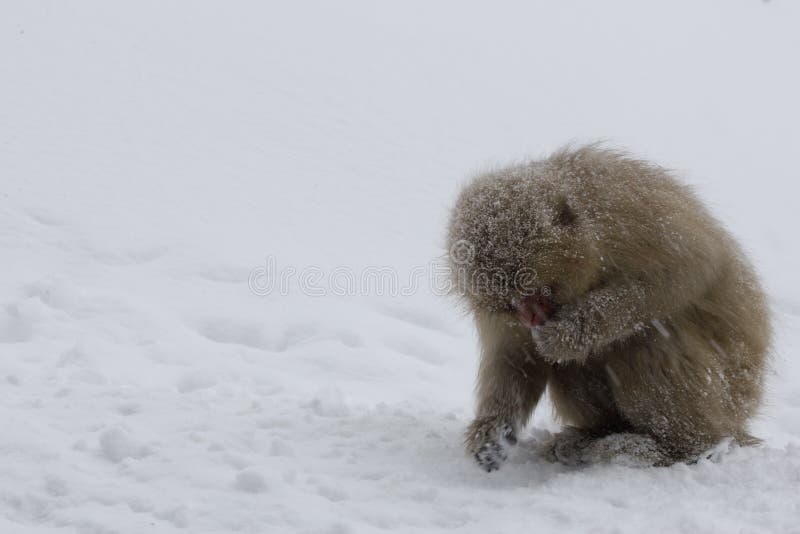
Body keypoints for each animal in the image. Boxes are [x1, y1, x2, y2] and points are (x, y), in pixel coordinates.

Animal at [446, 145, 771, 471]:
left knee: (648, 340)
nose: (532, 318)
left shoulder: (623, 211)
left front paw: (569, 331)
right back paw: (592, 437)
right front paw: (493, 434)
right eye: (511, 305)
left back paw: (676, 448)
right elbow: (517, 355)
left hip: (729, 396)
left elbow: (683, 272)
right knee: (571, 367)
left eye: (534, 292)